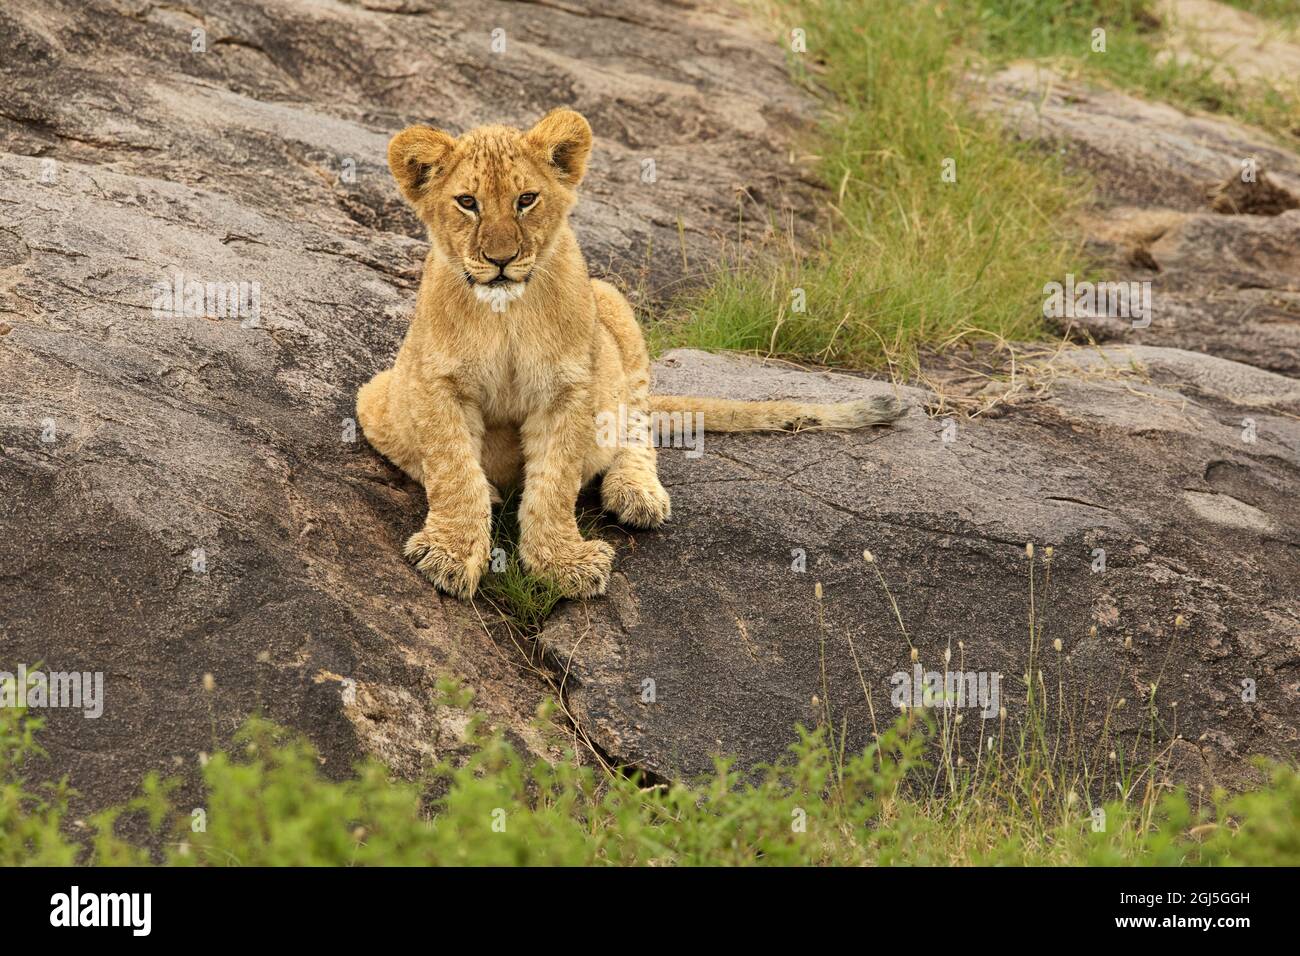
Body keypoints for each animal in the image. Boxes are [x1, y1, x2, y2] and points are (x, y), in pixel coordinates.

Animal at [357, 108, 904, 600]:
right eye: (467, 202)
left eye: (526, 199)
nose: (501, 260)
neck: (505, 315)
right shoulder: (432, 384)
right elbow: (453, 471)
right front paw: (451, 552)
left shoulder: (569, 388)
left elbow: (555, 483)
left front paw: (561, 563)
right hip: (378, 395)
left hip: (615, 308)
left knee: (636, 425)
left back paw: (636, 493)